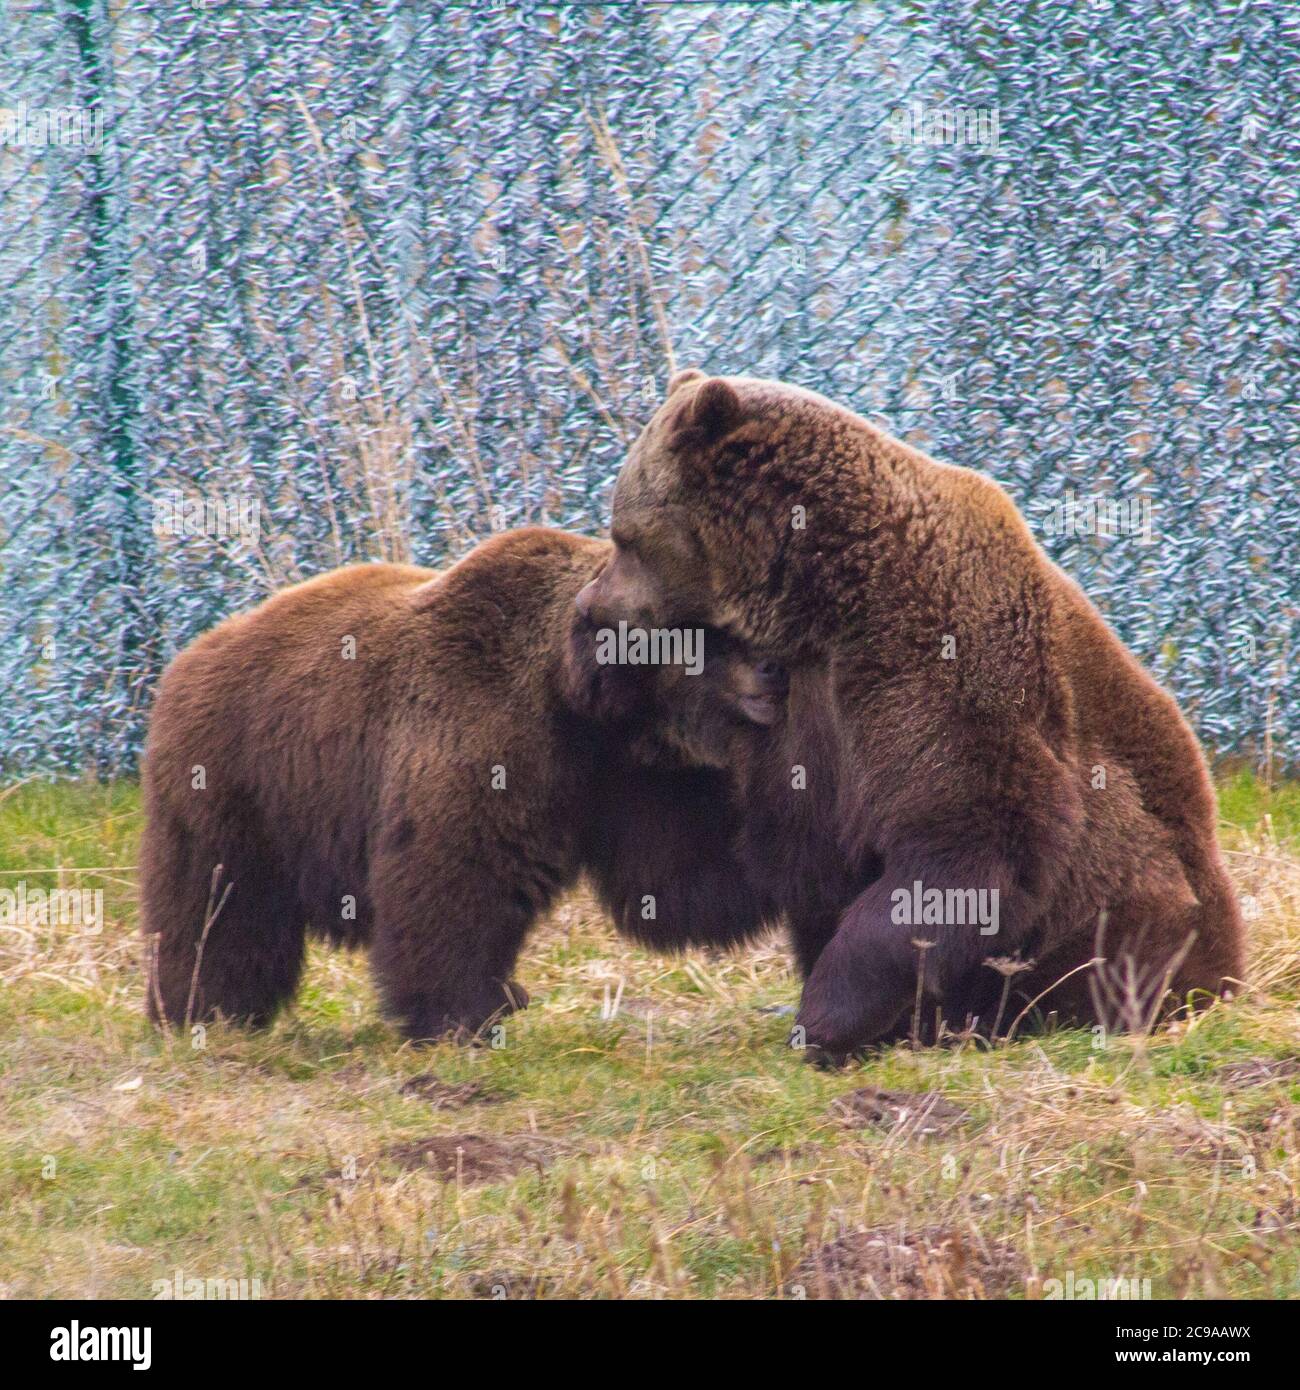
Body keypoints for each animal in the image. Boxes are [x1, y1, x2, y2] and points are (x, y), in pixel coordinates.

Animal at [141, 526, 786, 1042]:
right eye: (720, 634)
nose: (773, 670)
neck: (578, 705)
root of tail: (186, 659)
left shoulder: (624, 775)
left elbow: (681, 873)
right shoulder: (479, 729)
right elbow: (455, 875)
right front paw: (465, 1014)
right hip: (241, 779)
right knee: (221, 904)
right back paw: (202, 1009)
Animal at [575, 370, 1246, 1061]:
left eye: (625, 536)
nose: (590, 603)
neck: (821, 599)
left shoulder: (943, 660)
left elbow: (969, 842)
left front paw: (825, 1018)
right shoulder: (788, 713)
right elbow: (732, 854)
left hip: (1141, 883)